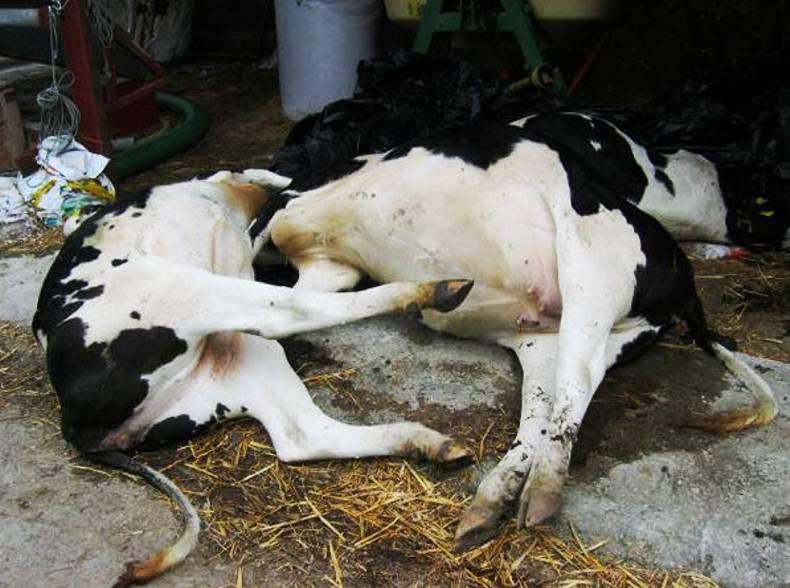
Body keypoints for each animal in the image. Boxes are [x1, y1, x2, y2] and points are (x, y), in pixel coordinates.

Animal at [32, 171, 474, 586]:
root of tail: (73, 422)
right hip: (179, 288)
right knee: (290, 310)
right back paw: (430, 291)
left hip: (243, 353)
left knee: (303, 435)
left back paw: (428, 442)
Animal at [254, 120, 778, 551]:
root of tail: (686, 278)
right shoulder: (329, 267)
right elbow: (293, 306)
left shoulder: (289, 223)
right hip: (551, 337)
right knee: (545, 408)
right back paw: (493, 499)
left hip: (590, 259)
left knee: (576, 378)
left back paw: (541, 490)